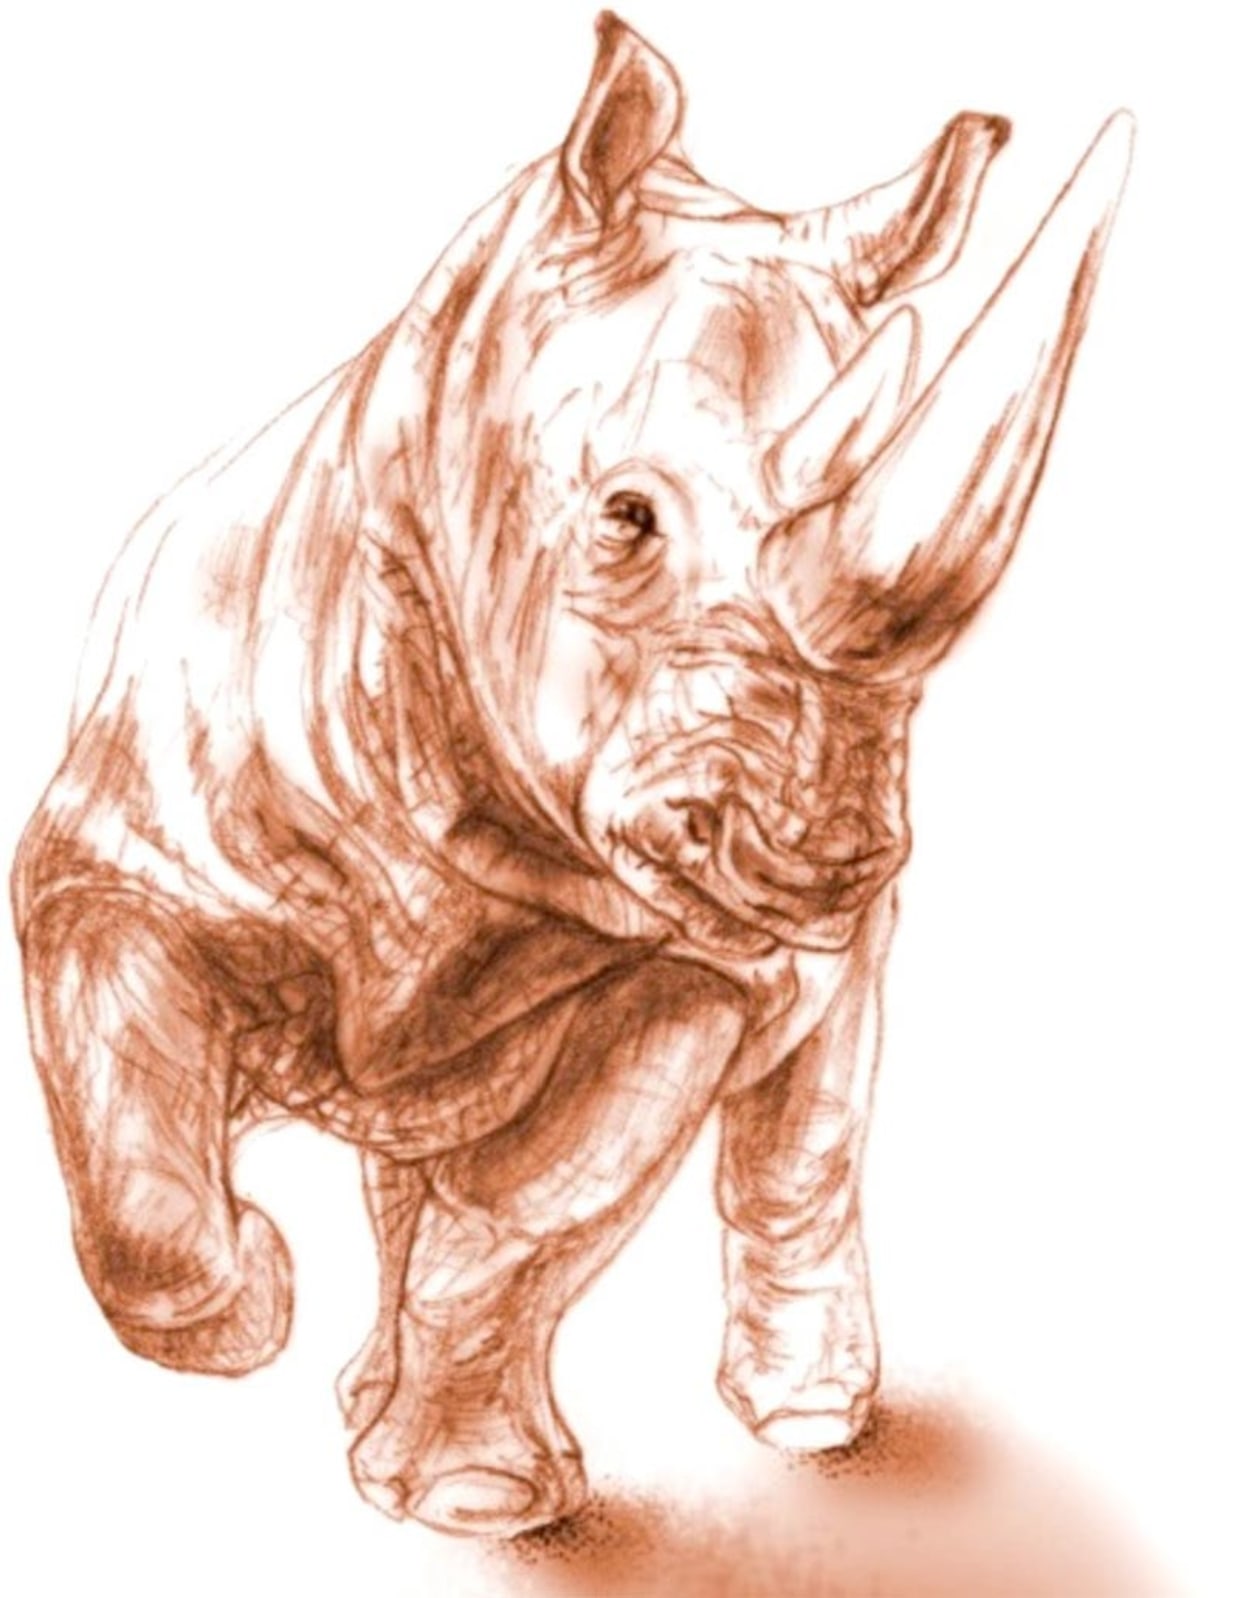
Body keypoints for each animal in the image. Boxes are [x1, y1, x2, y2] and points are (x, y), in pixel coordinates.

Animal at [12, 12, 1130, 1538]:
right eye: (626, 517)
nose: (828, 853)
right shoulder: (121, 852)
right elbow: (130, 1153)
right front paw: (248, 1291)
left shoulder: (704, 959)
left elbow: (527, 1209)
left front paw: (475, 1502)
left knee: (801, 1086)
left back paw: (803, 1419)